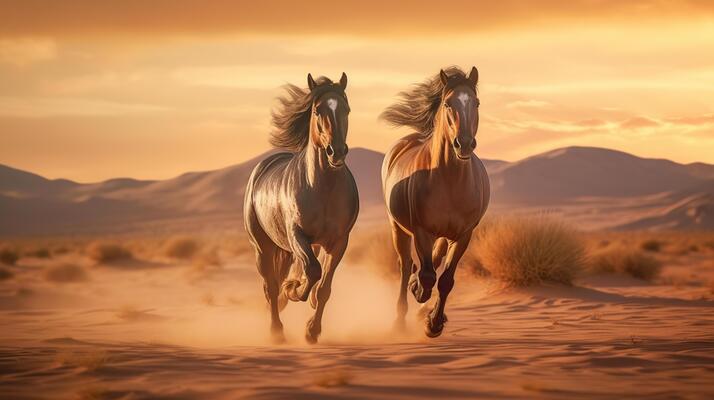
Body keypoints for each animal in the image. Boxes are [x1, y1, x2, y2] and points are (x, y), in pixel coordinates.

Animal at [244, 73, 359, 344]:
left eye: (346, 109)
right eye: (317, 111)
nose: (336, 152)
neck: (322, 188)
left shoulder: (339, 242)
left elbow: (325, 287)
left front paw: (312, 330)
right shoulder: (297, 235)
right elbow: (313, 271)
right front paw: (294, 290)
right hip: (263, 247)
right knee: (270, 286)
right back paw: (276, 331)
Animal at [380, 66, 490, 337]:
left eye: (476, 103)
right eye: (448, 103)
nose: (464, 144)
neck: (450, 181)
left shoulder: (463, 236)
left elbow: (446, 280)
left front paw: (434, 323)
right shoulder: (422, 231)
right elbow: (428, 276)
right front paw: (419, 292)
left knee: (433, 261)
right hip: (398, 228)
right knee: (406, 265)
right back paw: (402, 316)